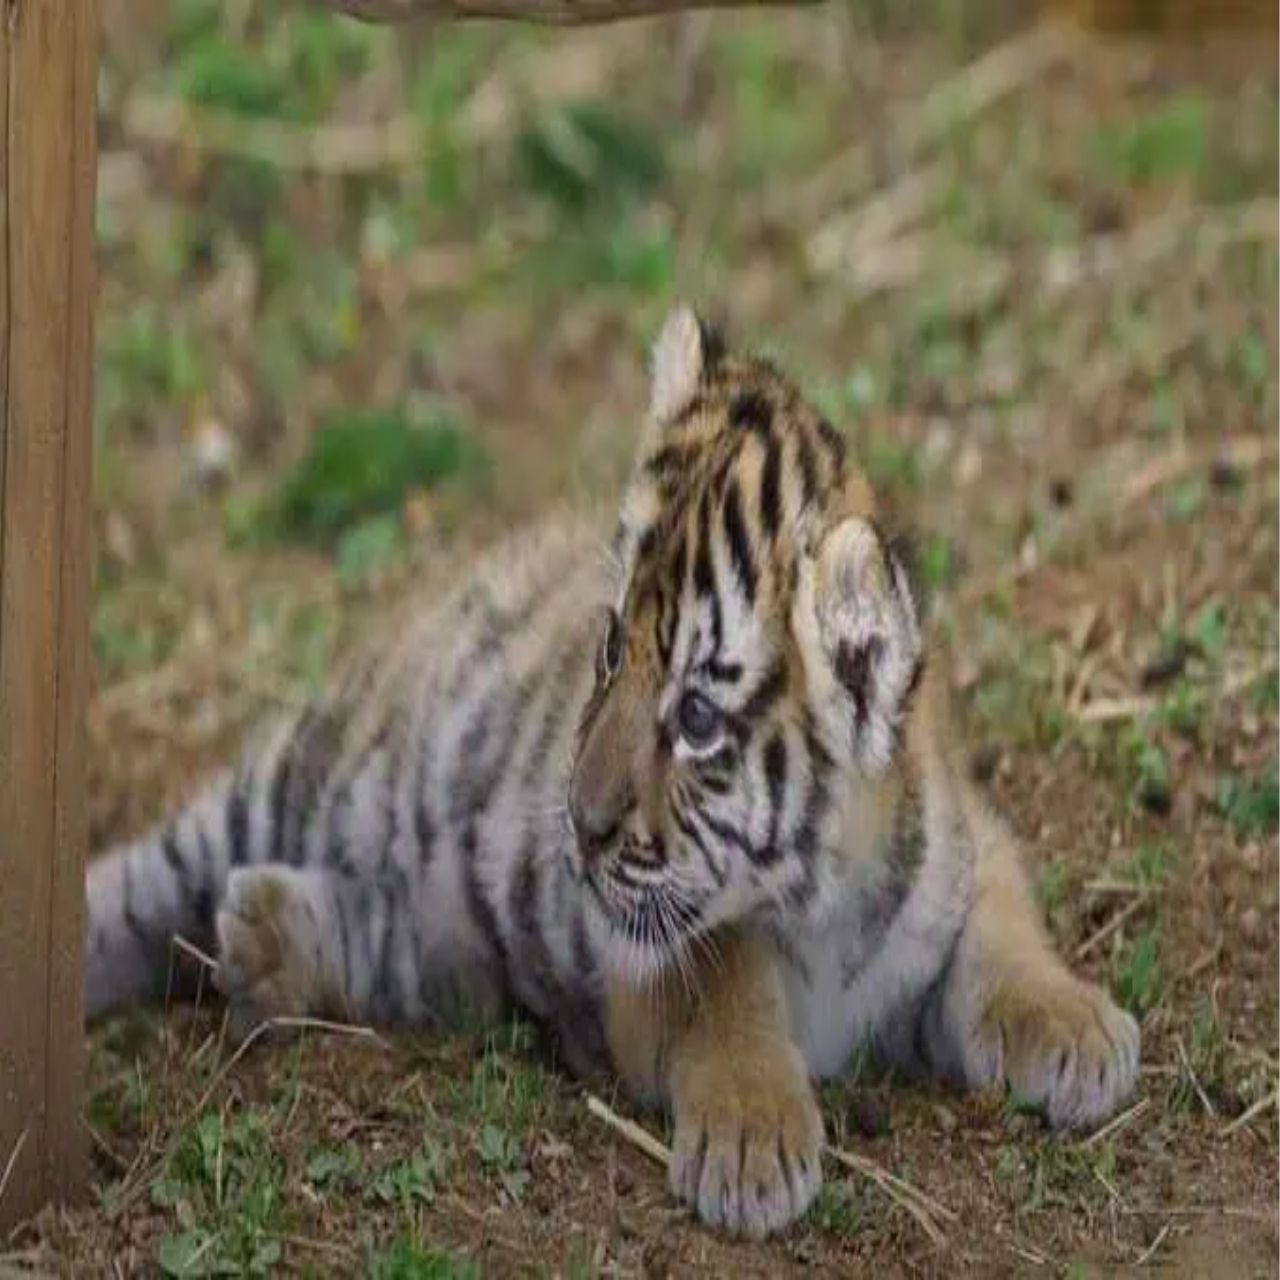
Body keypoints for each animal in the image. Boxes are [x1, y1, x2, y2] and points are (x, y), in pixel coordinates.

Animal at [86, 305, 1140, 1238]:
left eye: (698, 718)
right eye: (607, 648)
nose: (579, 827)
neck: (819, 908)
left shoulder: (967, 847)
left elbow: (1001, 936)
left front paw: (1078, 1029)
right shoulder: (648, 960)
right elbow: (723, 976)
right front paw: (753, 1137)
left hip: (454, 951)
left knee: (380, 932)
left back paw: (262, 940)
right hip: (317, 765)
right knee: (147, 875)